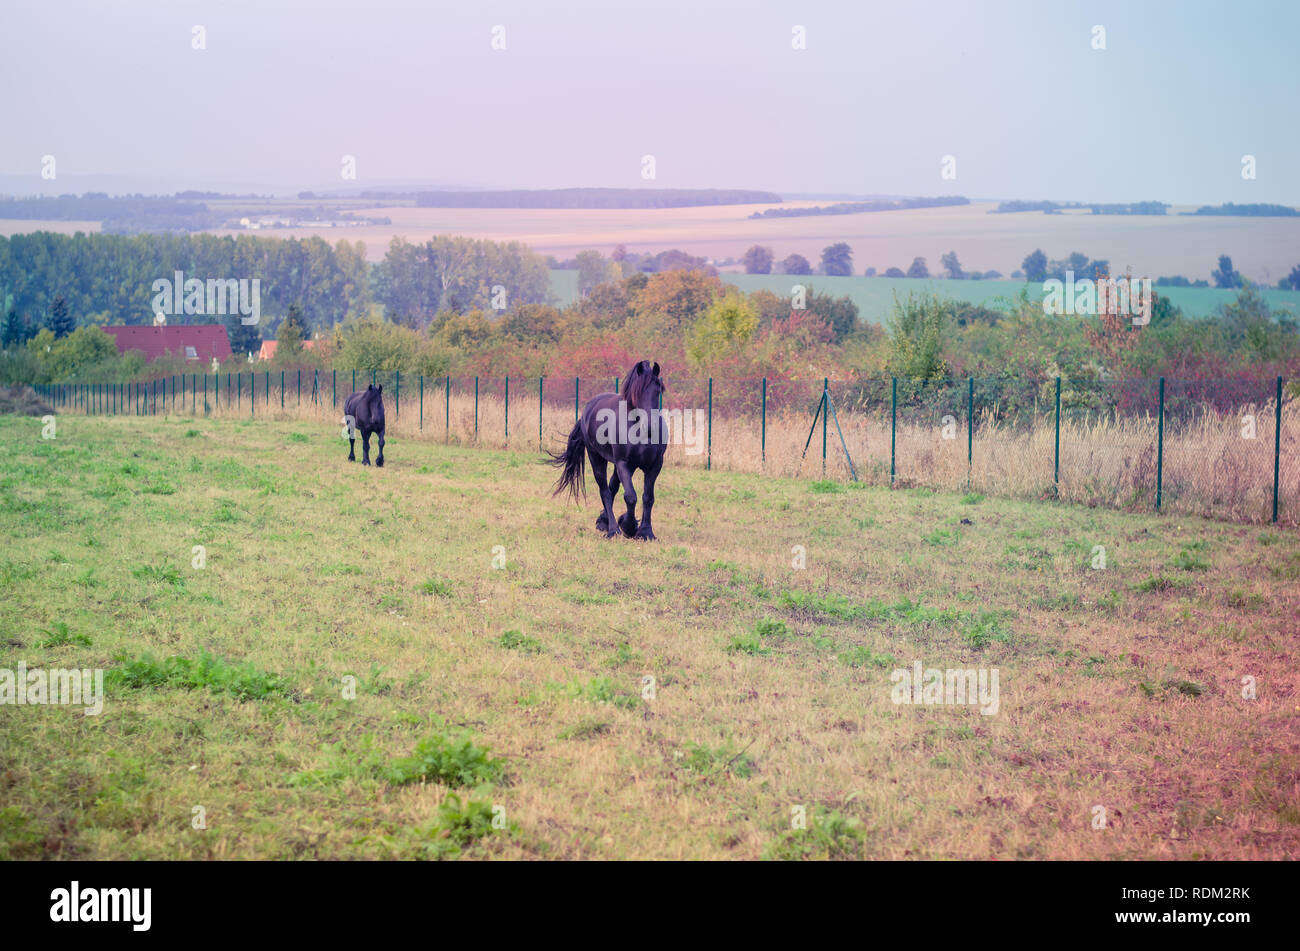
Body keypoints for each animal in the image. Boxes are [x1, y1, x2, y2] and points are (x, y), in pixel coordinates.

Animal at [549, 360, 667, 540]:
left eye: (658, 390)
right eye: (637, 392)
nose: (649, 427)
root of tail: (588, 409)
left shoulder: (654, 465)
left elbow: (648, 498)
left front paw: (646, 532)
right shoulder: (624, 463)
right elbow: (630, 497)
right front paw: (628, 527)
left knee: (612, 487)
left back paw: (603, 521)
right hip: (597, 458)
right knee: (605, 491)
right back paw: (612, 529)